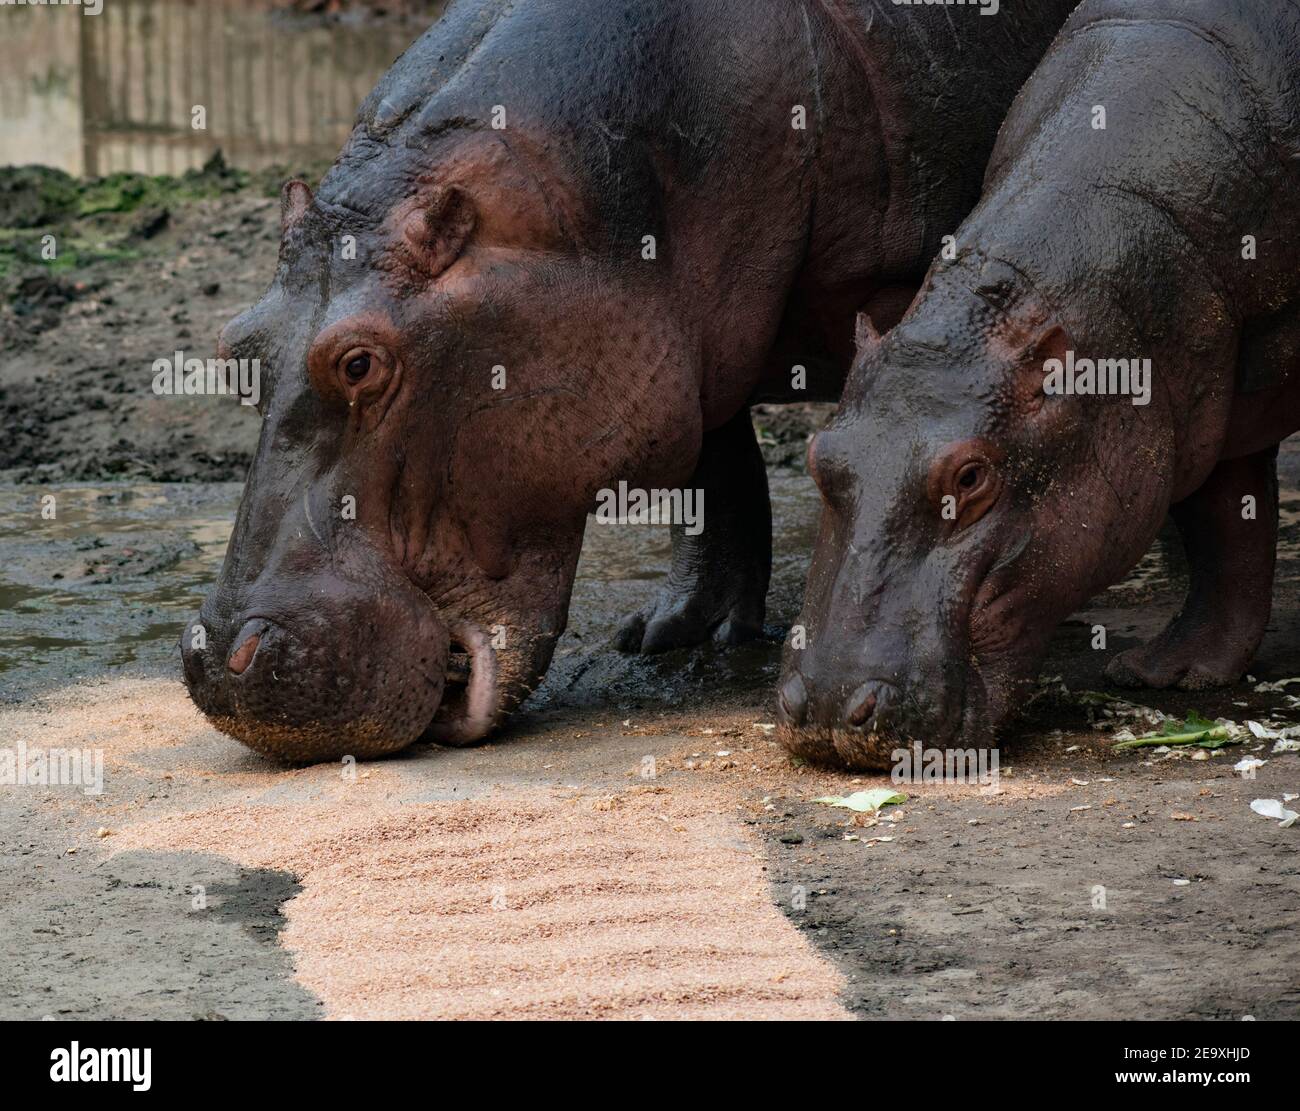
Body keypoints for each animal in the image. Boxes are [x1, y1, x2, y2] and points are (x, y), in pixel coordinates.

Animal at [182, 0, 1078, 761]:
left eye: (359, 361)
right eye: (235, 346)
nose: (220, 664)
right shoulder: (689, 347)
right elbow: (717, 472)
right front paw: (676, 631)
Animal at [777, 0, 1300, 769]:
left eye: (971, 477)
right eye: (821, 459)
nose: (831, 705)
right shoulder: (1210, 399)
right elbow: (1225, 527)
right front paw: (1171, 672)